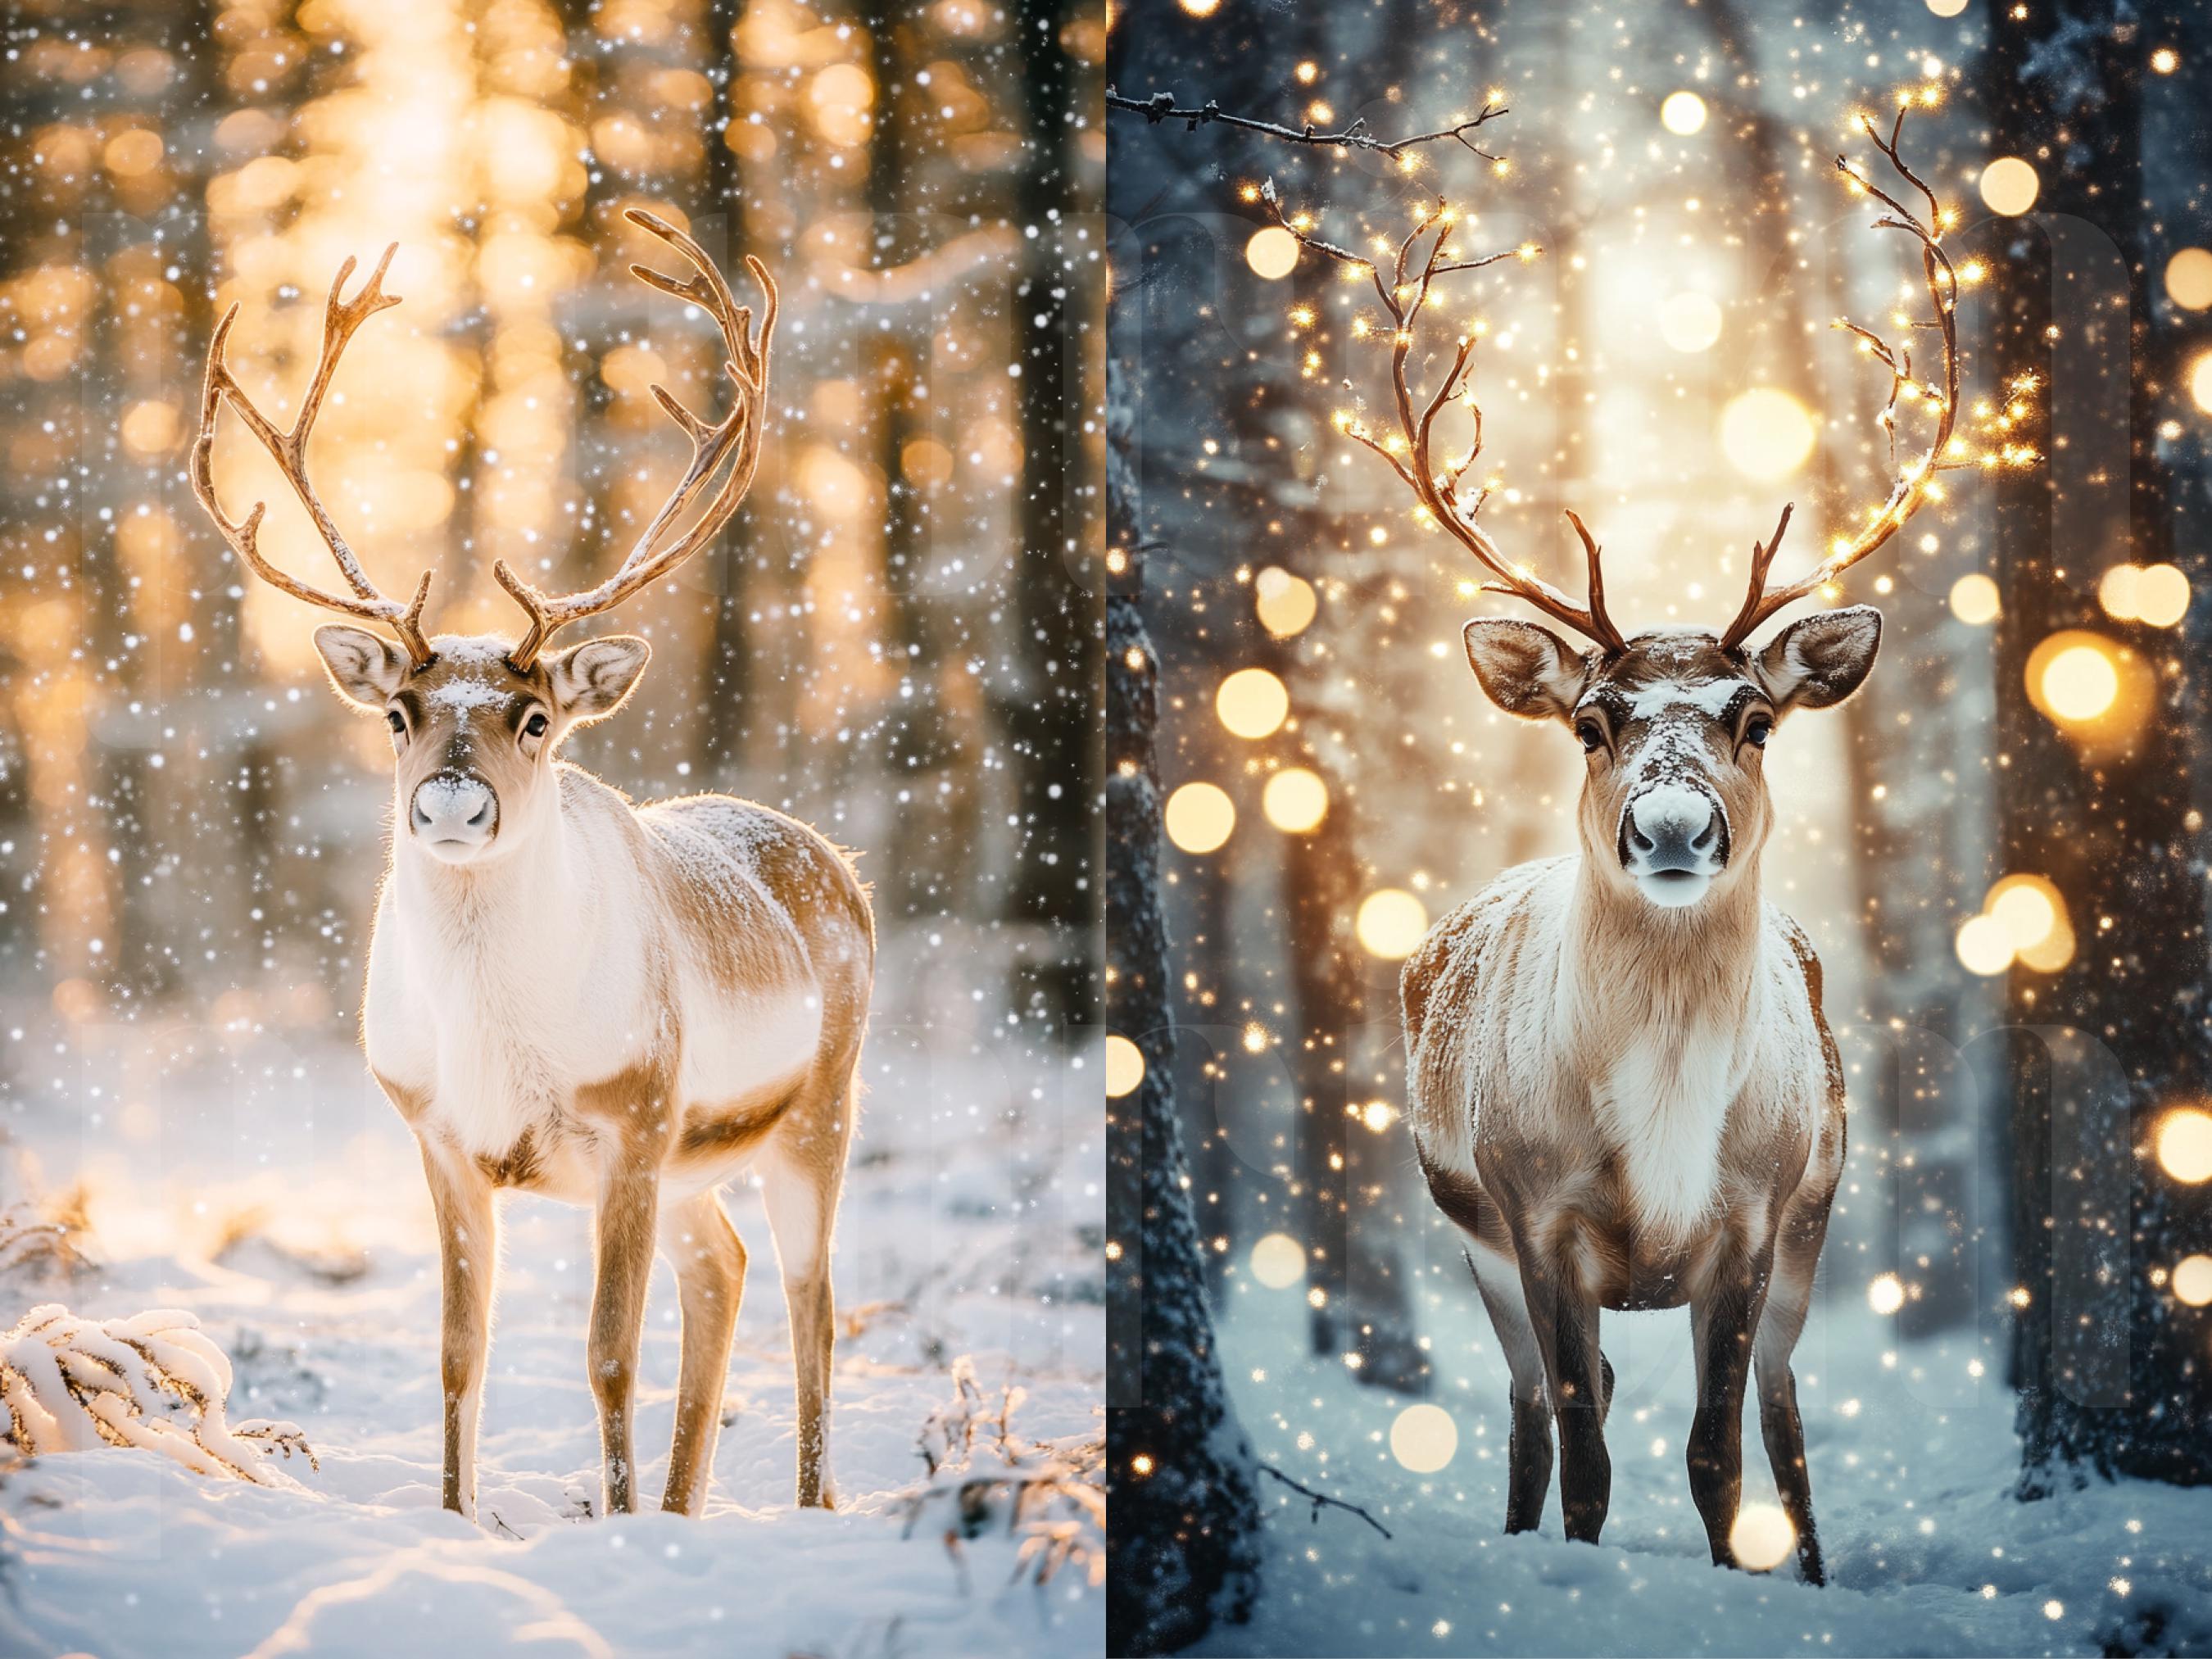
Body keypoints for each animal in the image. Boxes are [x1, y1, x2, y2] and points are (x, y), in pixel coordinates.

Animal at [188, 213, 874, 1522]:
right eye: (398, 713)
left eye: (538, 718)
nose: (452, 801)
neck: (500, 1039)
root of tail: (836, 859)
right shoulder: (437, 1132)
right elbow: (462, 1351)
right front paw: (462, 1519)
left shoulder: (639, 1115)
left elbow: (608, 1351)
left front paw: (612, 1526)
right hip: (707, 1159)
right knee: (726, 1269)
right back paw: (684, 1504)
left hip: (817, 1108)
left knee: (813, 1300)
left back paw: (808, 1506)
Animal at [1268, 107, 2031, 1581]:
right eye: (1590, 722)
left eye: (1755, 719)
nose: (1671, 827)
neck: (1661, 1138)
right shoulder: (1532, 1211)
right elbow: (1590, 1448)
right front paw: (1571, 1561)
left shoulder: (1756, 1216)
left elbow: (1715, 1449)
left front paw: (1751, 1578)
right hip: (1471, 1238)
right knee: (1533, 1404)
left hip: (1818, 1213)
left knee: (1785, 1408)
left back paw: (1814, 1562)